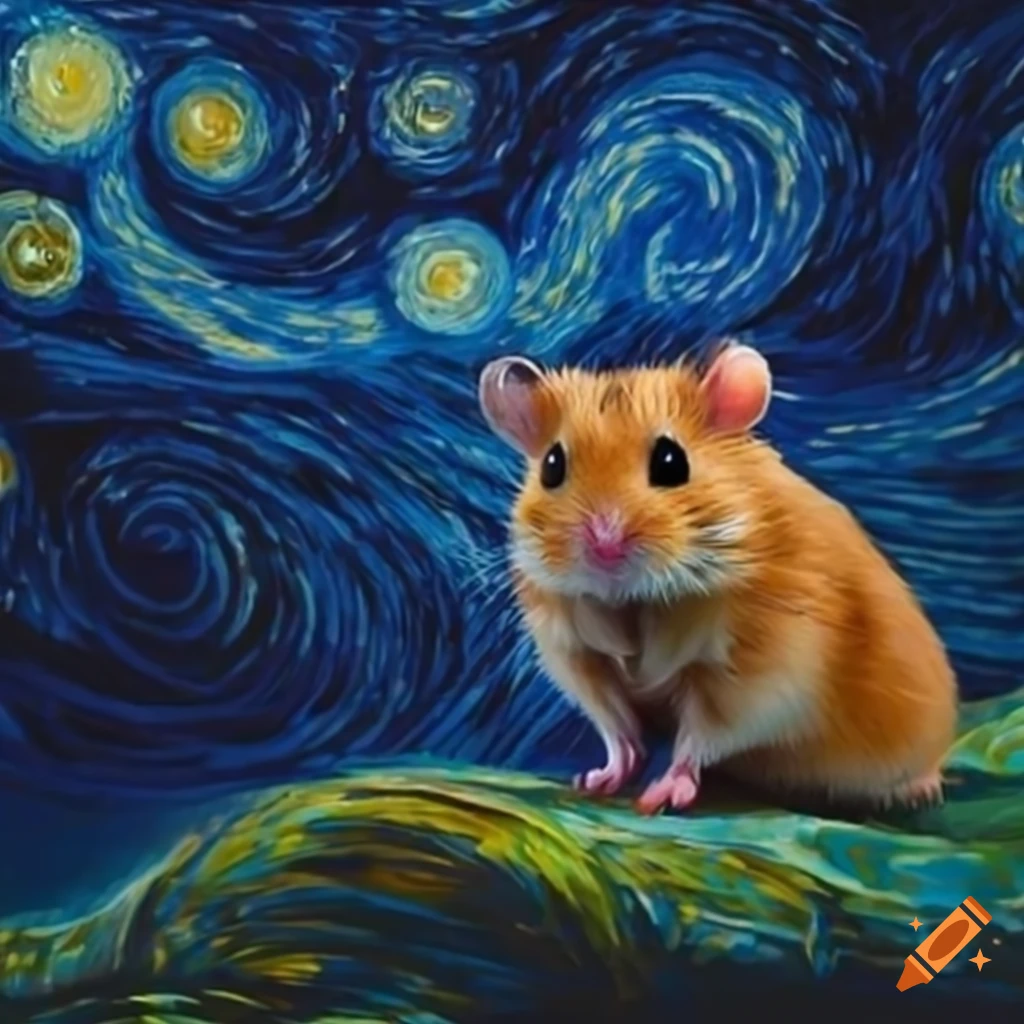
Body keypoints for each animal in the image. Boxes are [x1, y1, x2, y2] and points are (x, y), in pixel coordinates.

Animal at [478, 341, 958, 814]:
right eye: (552, 466)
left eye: (671, 462)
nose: (605, 544)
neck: (634, 601)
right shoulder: (578, 660)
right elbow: (616, 728)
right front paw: (595, 781)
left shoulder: (756, 675)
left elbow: (700, 736)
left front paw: (656, 799)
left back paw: (922, 791)